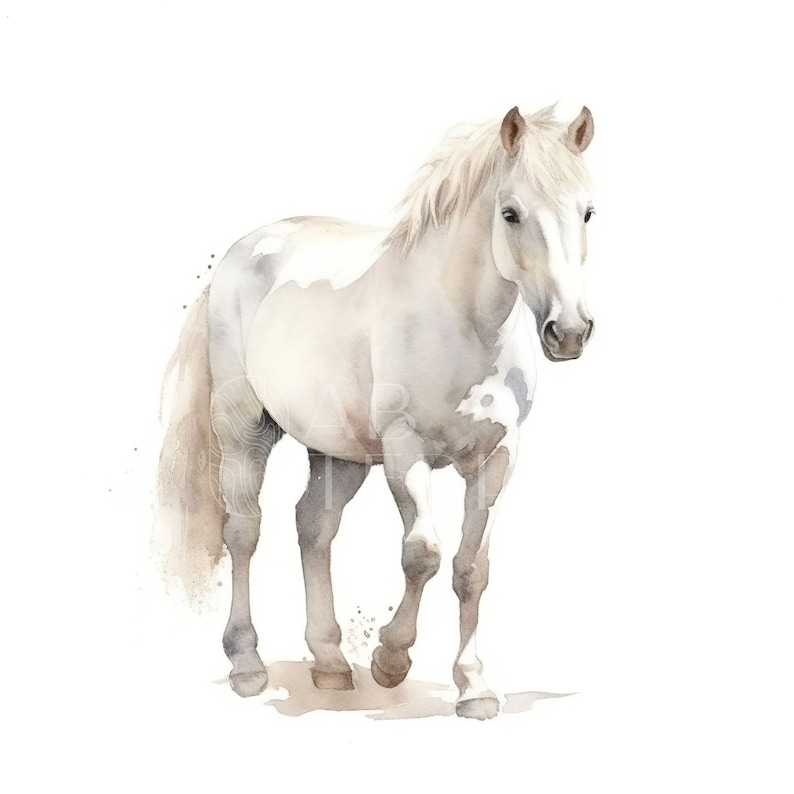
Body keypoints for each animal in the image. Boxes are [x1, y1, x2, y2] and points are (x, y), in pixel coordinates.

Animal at [157, 104, 597, 719]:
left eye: (587, 212)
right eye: (510, 213)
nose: (570, 332)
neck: (461, 322)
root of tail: (245, 250)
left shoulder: (497, 456)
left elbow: (472, 569)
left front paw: (474, 687)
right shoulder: (404, 448)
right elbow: (423, 554)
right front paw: (392, 660)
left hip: (338, 453)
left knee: (312, 528)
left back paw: (330, 664)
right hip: (245, 429)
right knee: (244, 530)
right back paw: (248, 664)